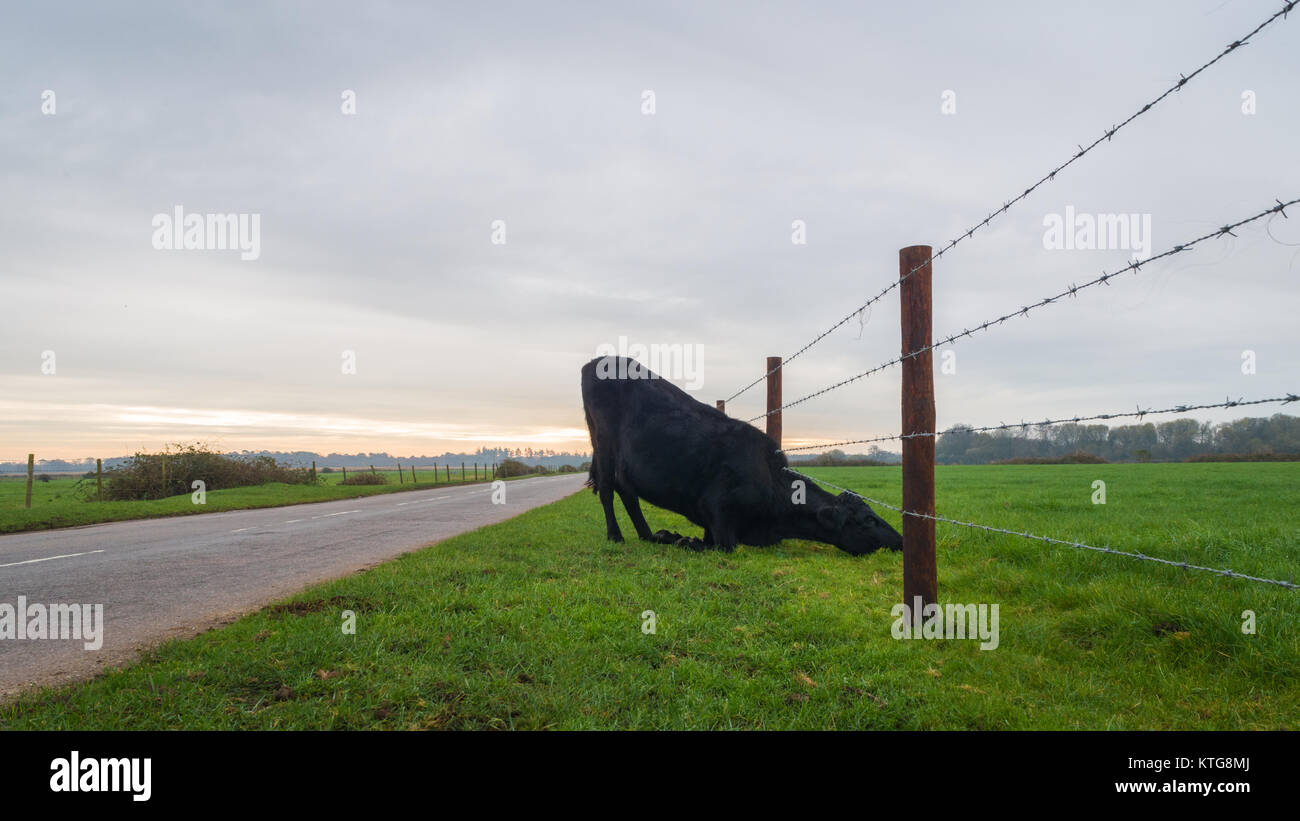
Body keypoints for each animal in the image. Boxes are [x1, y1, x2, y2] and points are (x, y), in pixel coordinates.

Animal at [581, 355, 903, 555]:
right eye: (869, 520)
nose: (901, 540)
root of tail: (598, 361)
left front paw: (668, 536)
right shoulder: (717, 510)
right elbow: (720, 545)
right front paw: (678, 539)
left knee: (627, 490)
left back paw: (647, 535)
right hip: (603, 440)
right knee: (608, 488)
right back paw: (616, 536)